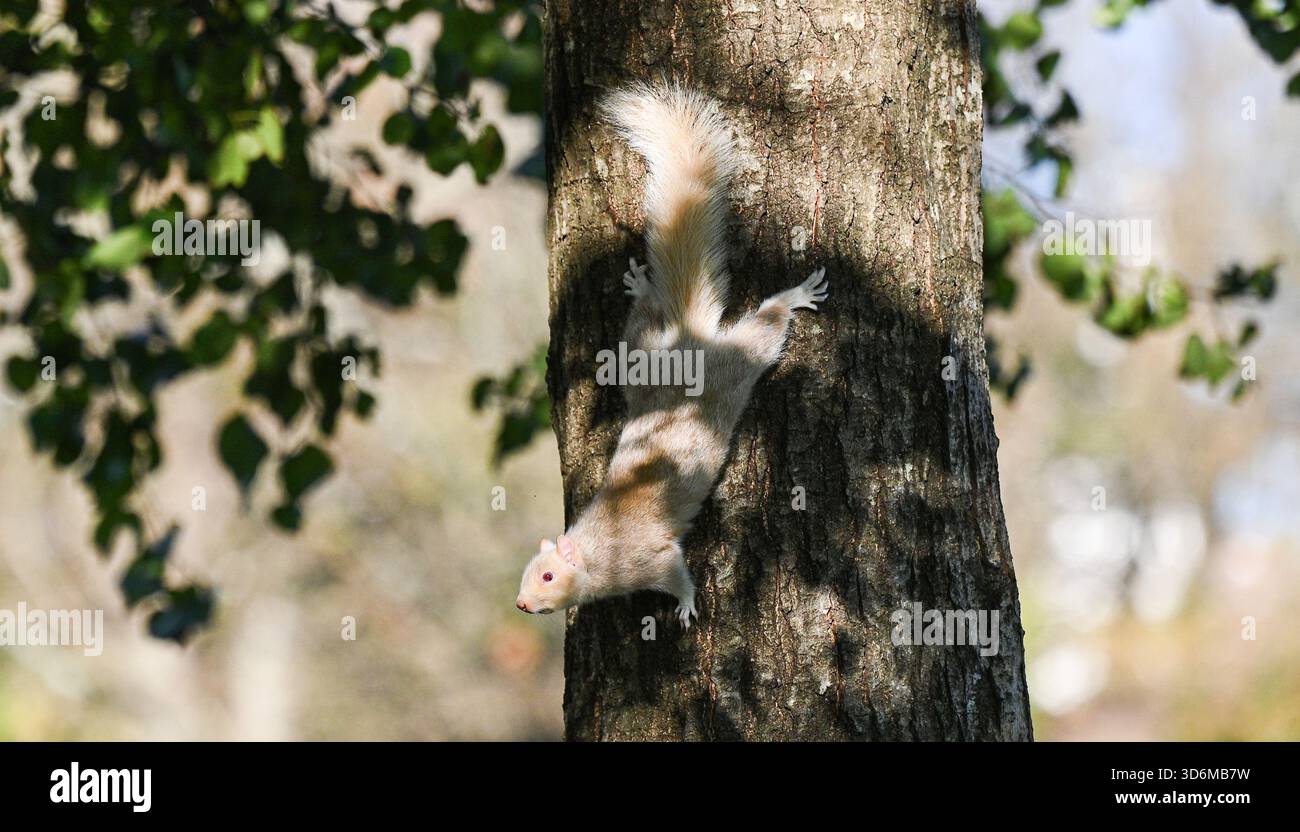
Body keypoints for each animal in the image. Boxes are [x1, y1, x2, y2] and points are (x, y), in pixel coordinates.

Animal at [516, 82, 828, 628]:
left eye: (549, 575)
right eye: (526, 574)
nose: (521, 603)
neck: (596, 551)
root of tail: (687, 339)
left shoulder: (651, 558)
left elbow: (676, 576)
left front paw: (684, 606)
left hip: (734, 366)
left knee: (765, 328)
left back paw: (793, 299)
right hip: (640, 366)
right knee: (642, 327)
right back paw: (643, 289)